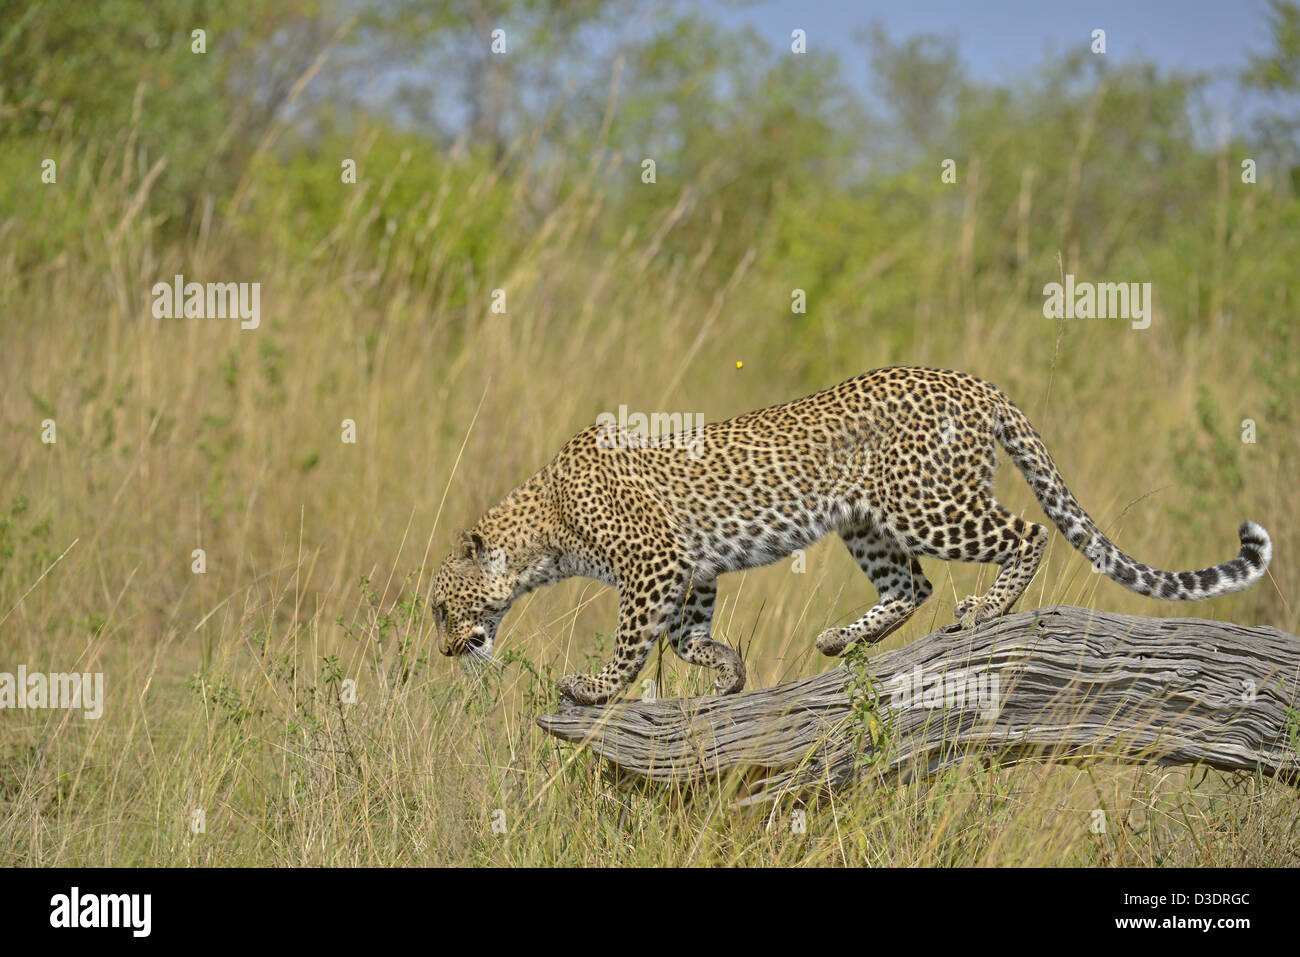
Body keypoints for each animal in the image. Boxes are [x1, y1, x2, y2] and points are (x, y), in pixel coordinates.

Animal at [432, 366, 1272, 705]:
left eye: (442, 608)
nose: (443, 649)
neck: (544, 525)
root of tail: (975, 381)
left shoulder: (654, 563)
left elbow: (636, 641)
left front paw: (594, 688)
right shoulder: (692, 569)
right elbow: (685, 636)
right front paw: (729, 672)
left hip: (924, 502)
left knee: (1025, 531)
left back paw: (987, 610)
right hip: (868, 522)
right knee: (912, 583)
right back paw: (841, 638)